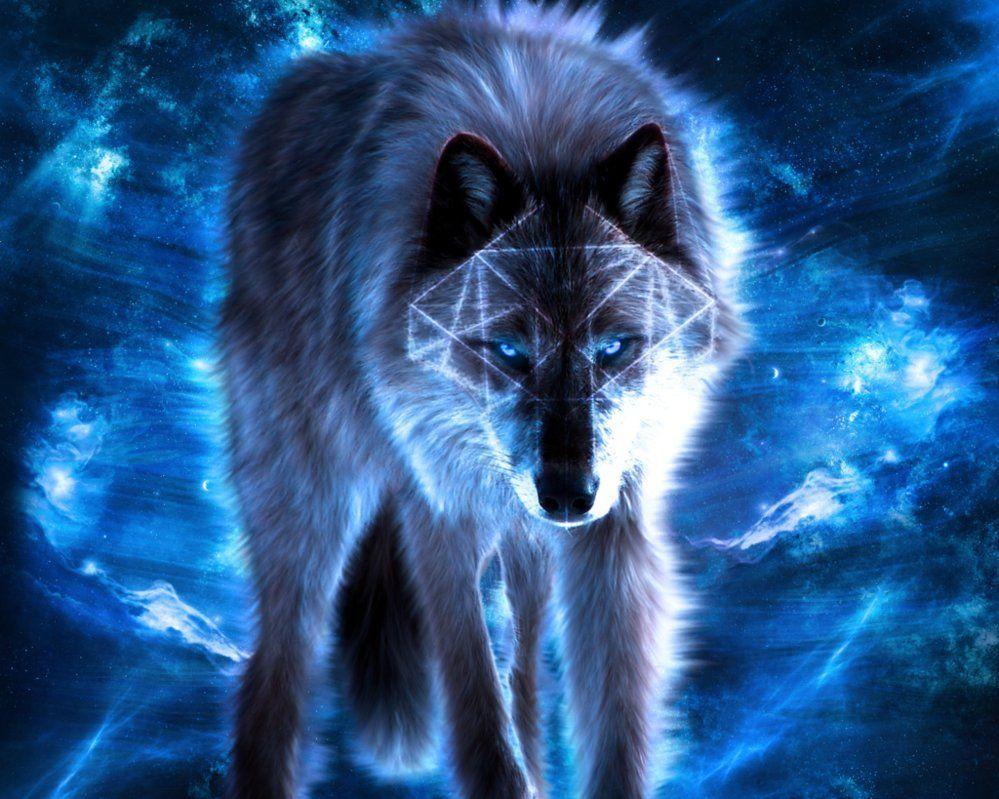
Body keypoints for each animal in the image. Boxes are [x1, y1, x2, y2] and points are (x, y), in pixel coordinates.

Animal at [221, 3, 740, 798]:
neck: (541, 137)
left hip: (522, 549)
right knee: (277, 663)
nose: (567, 493)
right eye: (509, 351)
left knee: (525, 669)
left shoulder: (613, 527)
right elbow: (474, 699)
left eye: (614, 349)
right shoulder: (440, 514)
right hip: (310, 503)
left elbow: (608, 714)